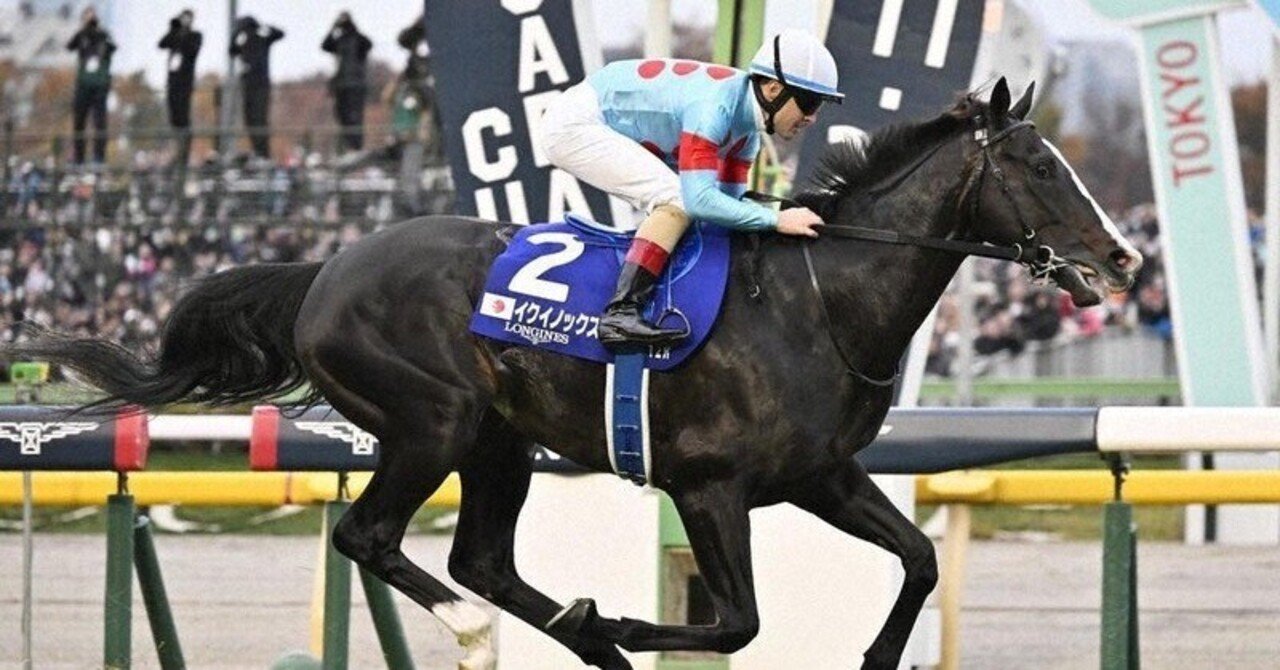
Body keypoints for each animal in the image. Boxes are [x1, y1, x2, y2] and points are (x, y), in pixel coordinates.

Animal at [13, 79, 1141, 669]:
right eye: (1038, 166)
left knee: (481, 559)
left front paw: (871, 656)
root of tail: (324, 267)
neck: (820, 299)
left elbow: (916, 558)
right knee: (371, 537)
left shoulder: (818, 475)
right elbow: (736, 620)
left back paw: (570, 629)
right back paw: (515, 631)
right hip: (432, 422)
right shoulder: (710, 483)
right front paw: (624, 621)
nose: (1123, 258)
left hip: (500, 443)